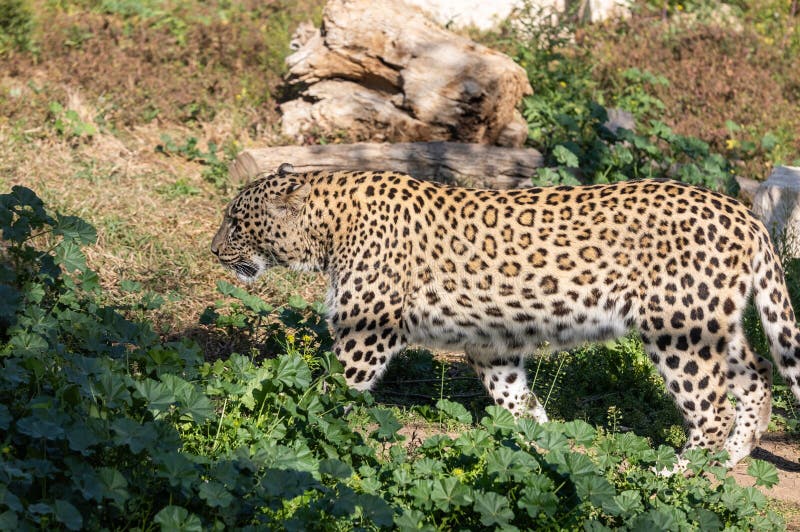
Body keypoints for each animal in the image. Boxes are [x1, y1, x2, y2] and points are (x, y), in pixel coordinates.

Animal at [211, 163, 800, 467]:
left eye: (236, 222)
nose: (214, 250)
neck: (329, 229)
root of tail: (744, 214)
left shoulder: (367, 332)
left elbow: (326, 390)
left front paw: (284, 428)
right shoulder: (490, 344)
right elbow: (516, 399)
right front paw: (547, 444)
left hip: (680, 331)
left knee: (712, 405)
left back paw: (677, 471)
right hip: (713, 325)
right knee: (757, 374)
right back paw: (733, 456)